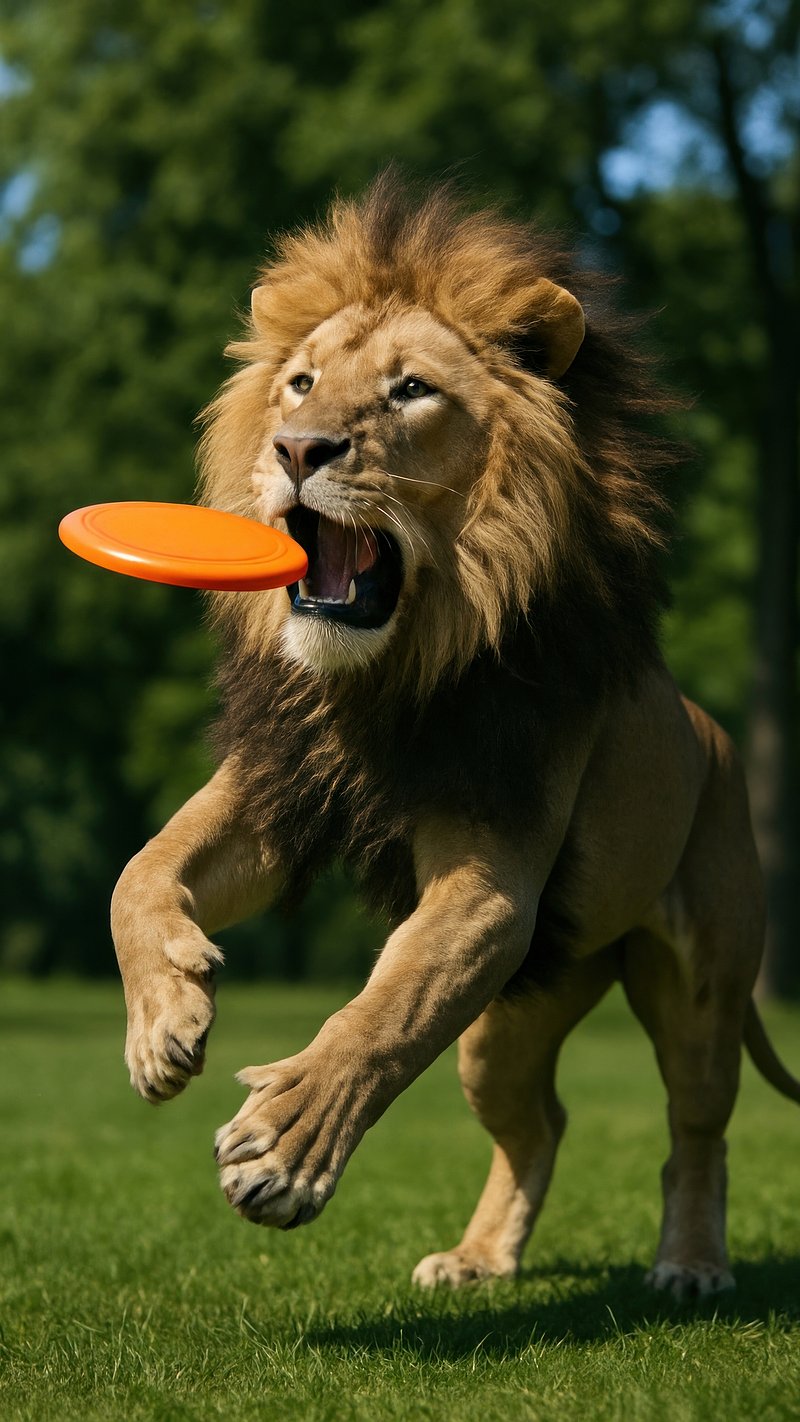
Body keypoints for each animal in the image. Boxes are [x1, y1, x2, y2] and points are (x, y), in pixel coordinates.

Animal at [111, 172, 799, 1297]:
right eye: (300, 384)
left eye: (409, 392)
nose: (297, 450)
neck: (389, 671)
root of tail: (712, 730)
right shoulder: (274, 793)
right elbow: (140, 872)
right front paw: (163, 1021)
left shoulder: (491, 883)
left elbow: (385, 1010)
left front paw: (287, 1144)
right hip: (507, 1023)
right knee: (540, 1125)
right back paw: (479, 1259)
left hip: (701, 982)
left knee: (695, 1131)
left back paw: (691, 1264)